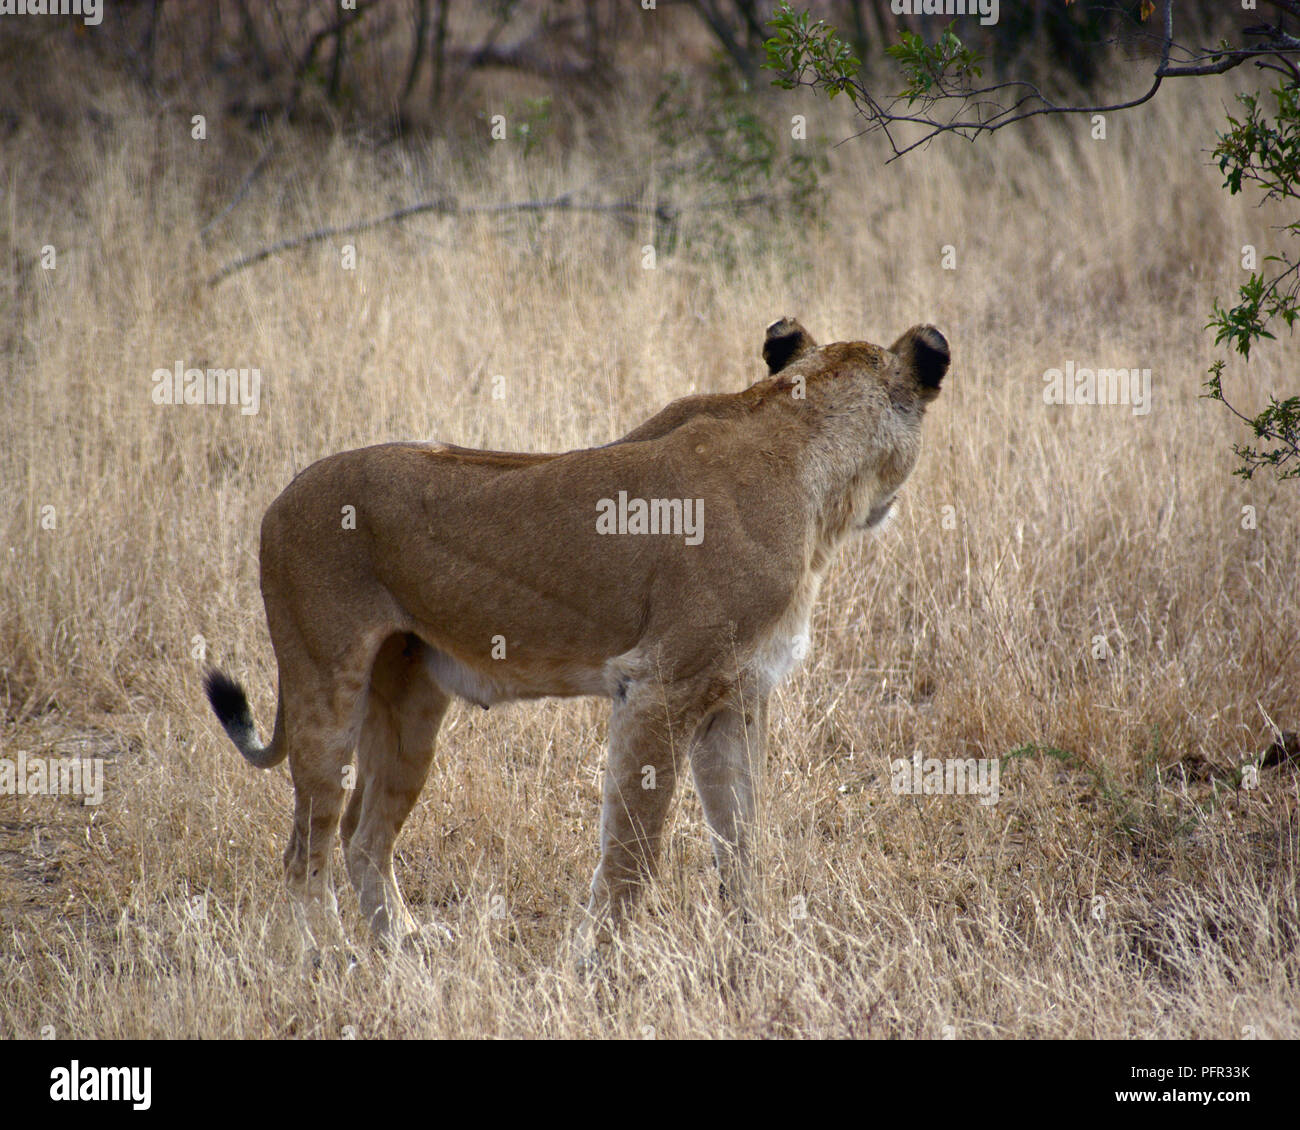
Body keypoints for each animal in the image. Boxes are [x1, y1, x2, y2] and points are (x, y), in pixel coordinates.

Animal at [204, 317, 949, 953]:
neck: (813, 462)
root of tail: (278, 499)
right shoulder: (659, 684)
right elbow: (634, 845)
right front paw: (600, 961)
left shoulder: (738, 694)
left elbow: (741, 837)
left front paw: (755, 948)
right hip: (324, 683)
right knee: (306, 847)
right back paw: (324, 956)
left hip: (411, 702)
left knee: (364, 834)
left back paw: (404, 944)